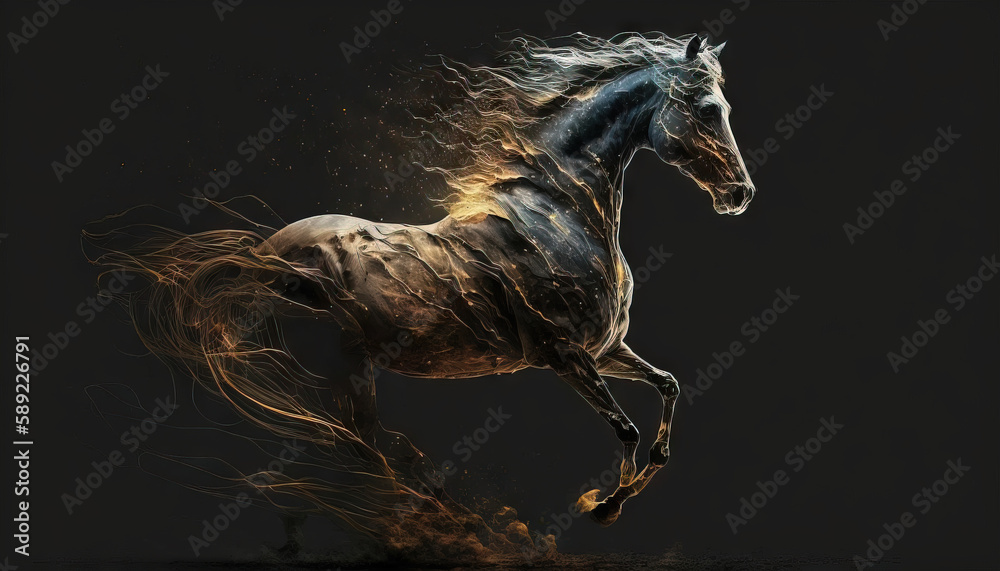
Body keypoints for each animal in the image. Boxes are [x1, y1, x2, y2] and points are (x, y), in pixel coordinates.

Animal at [94, 32, 754, 541]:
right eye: (705, 107)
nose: (741, 194)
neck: (560, 213)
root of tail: (265, 256)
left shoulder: (607, 349)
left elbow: (668, 392)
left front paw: (615, 499)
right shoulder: (565, 356)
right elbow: (628, 429)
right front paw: (604, 506)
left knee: (347, 447)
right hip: (342, 373)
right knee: (361, 448)